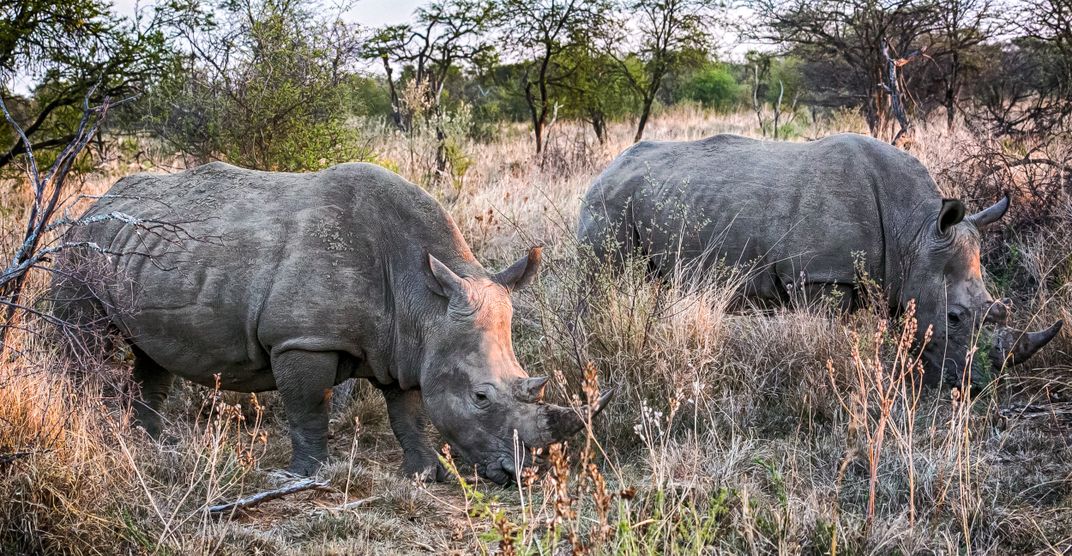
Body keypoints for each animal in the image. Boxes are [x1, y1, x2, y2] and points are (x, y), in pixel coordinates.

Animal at [53, 161, 610, 485]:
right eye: (480, 397)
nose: (517, 474)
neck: (423, 300)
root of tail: (100, 201)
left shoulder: (405, 347)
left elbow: (408, 412)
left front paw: (426, 474)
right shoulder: (303, 339)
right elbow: (308, 408)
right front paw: (301, 476)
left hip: (136, 250)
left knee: (150, 354)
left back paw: (150, 443)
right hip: (82, 246)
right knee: (83, 338)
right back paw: (84, 424)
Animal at [578, 133, 1062, 386]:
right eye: (955, 317)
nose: (980, 386)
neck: (916, 230)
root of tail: (606, 166)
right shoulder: (821, 276)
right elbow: (825, 335)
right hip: (607, 203)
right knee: (605, 275)